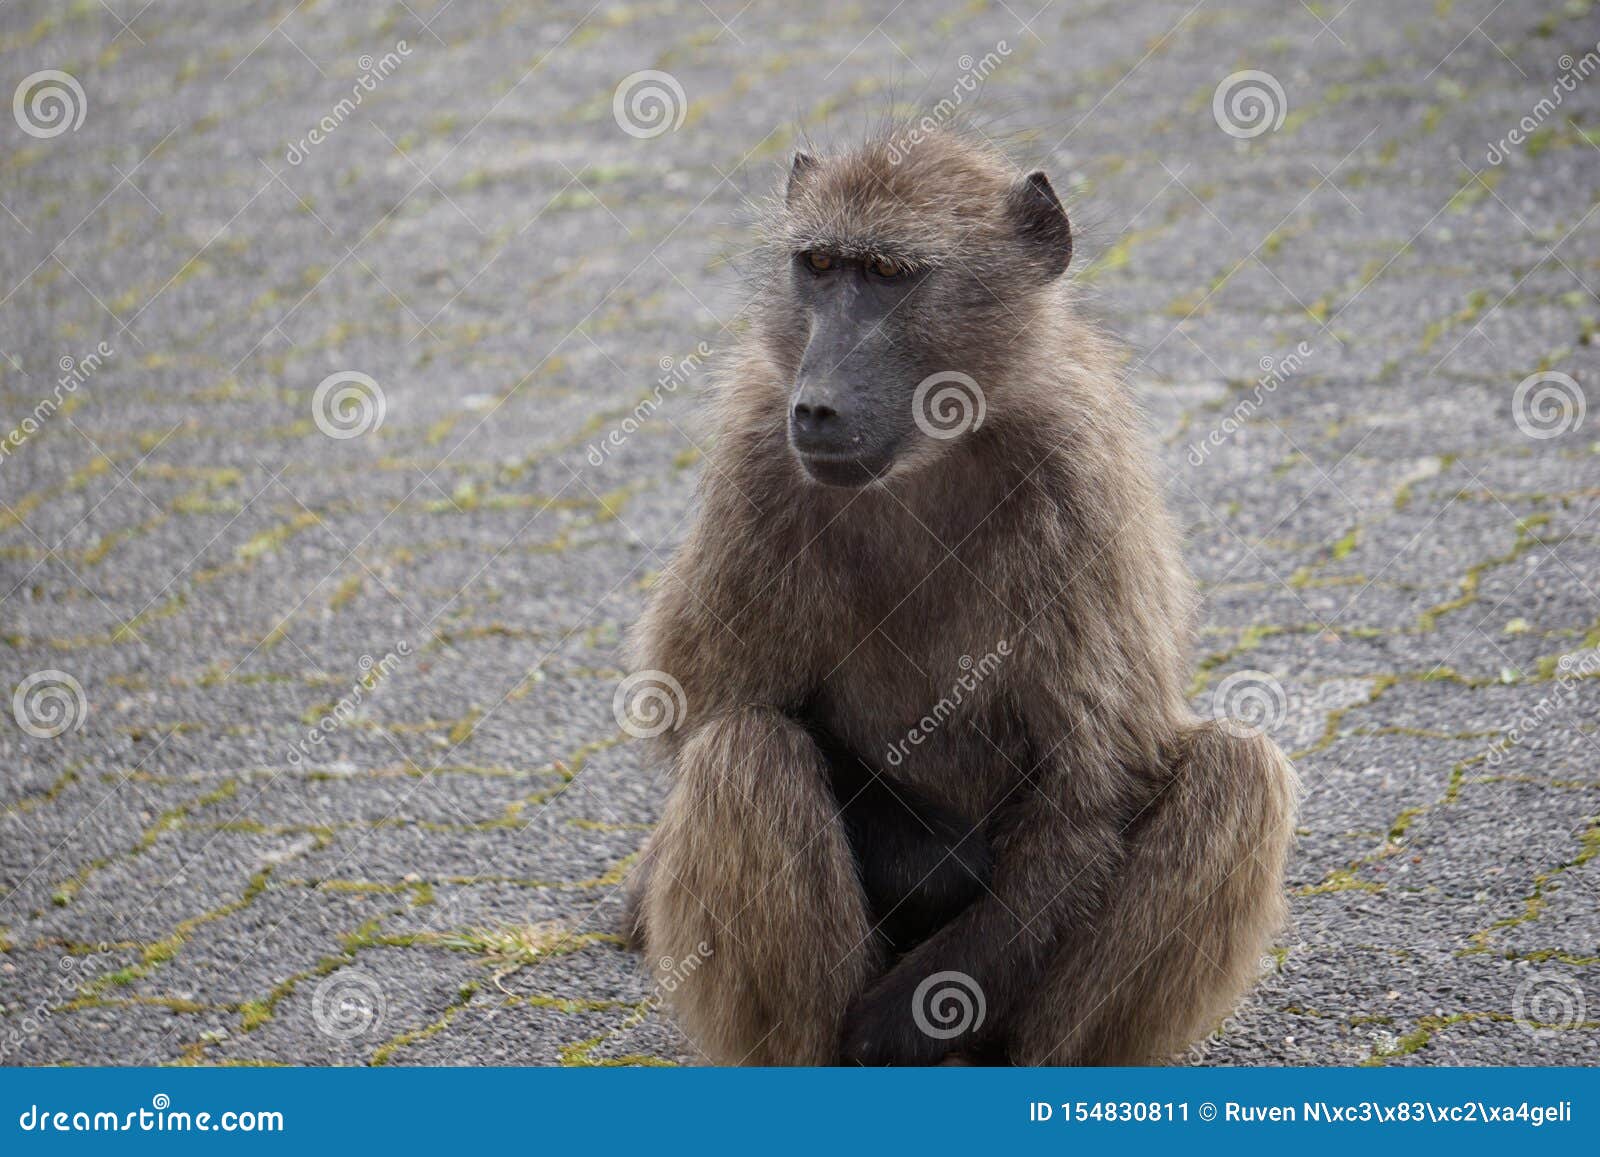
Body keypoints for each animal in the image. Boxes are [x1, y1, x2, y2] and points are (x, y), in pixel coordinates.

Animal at [621, 125, 1298, 1066]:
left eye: (890, 274)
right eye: (820, 265)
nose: (817, 406)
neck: (928, 457)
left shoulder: (1078, 470)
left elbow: (1092, 787)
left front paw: (909, 1016)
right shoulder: (756, 455)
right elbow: (697, 708)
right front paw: (943, 870)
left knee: (1239, 770)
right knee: (747, 751)